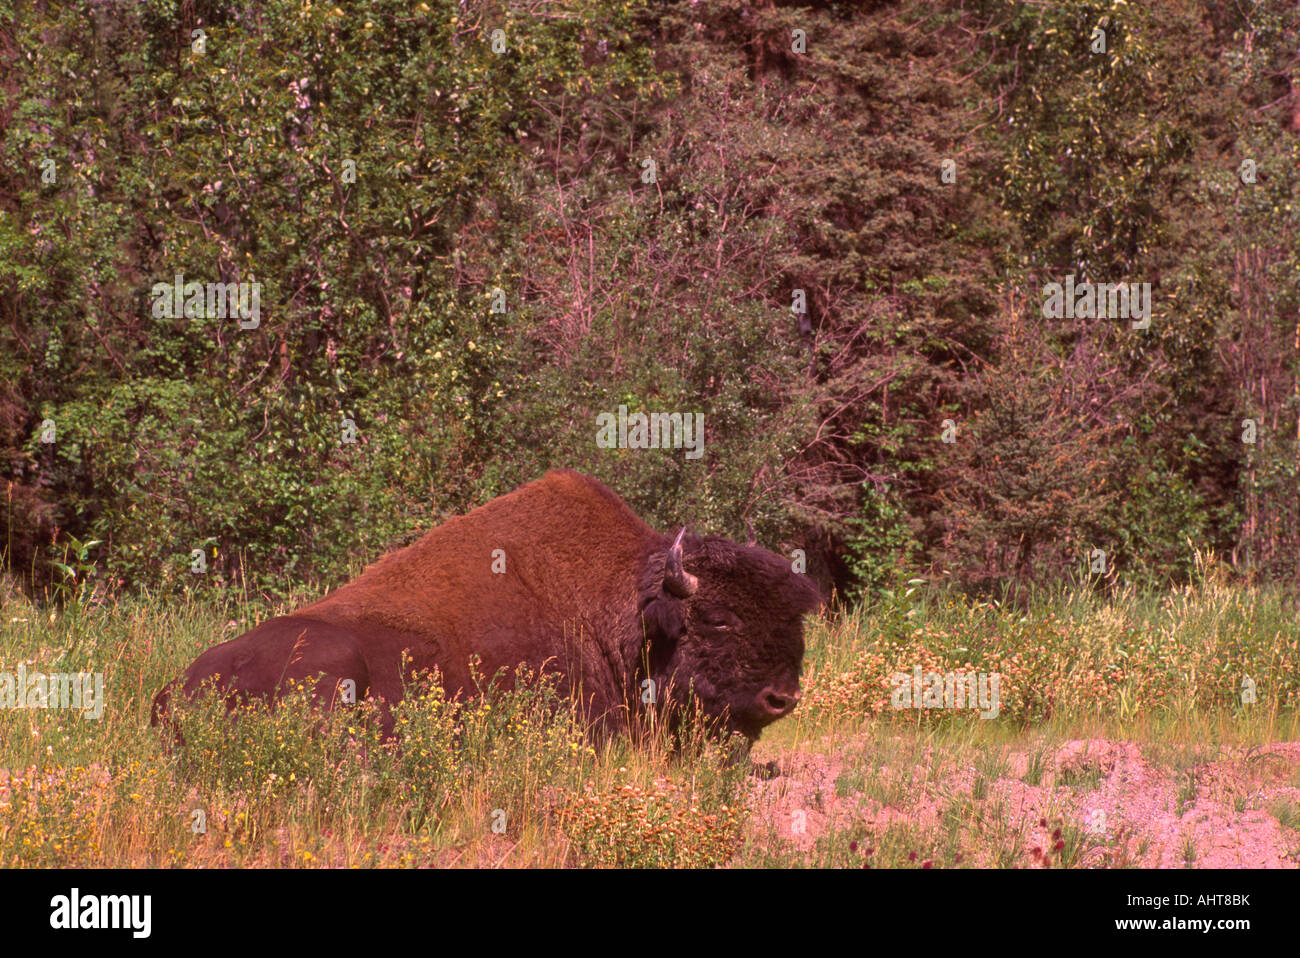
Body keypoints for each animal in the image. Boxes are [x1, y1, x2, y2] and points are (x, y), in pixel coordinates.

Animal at [152, 470, 821, 742]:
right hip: (332, 661)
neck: (630, 615)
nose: (781, 698)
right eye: (719, 618)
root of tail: (175, 690)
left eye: (794, 622)